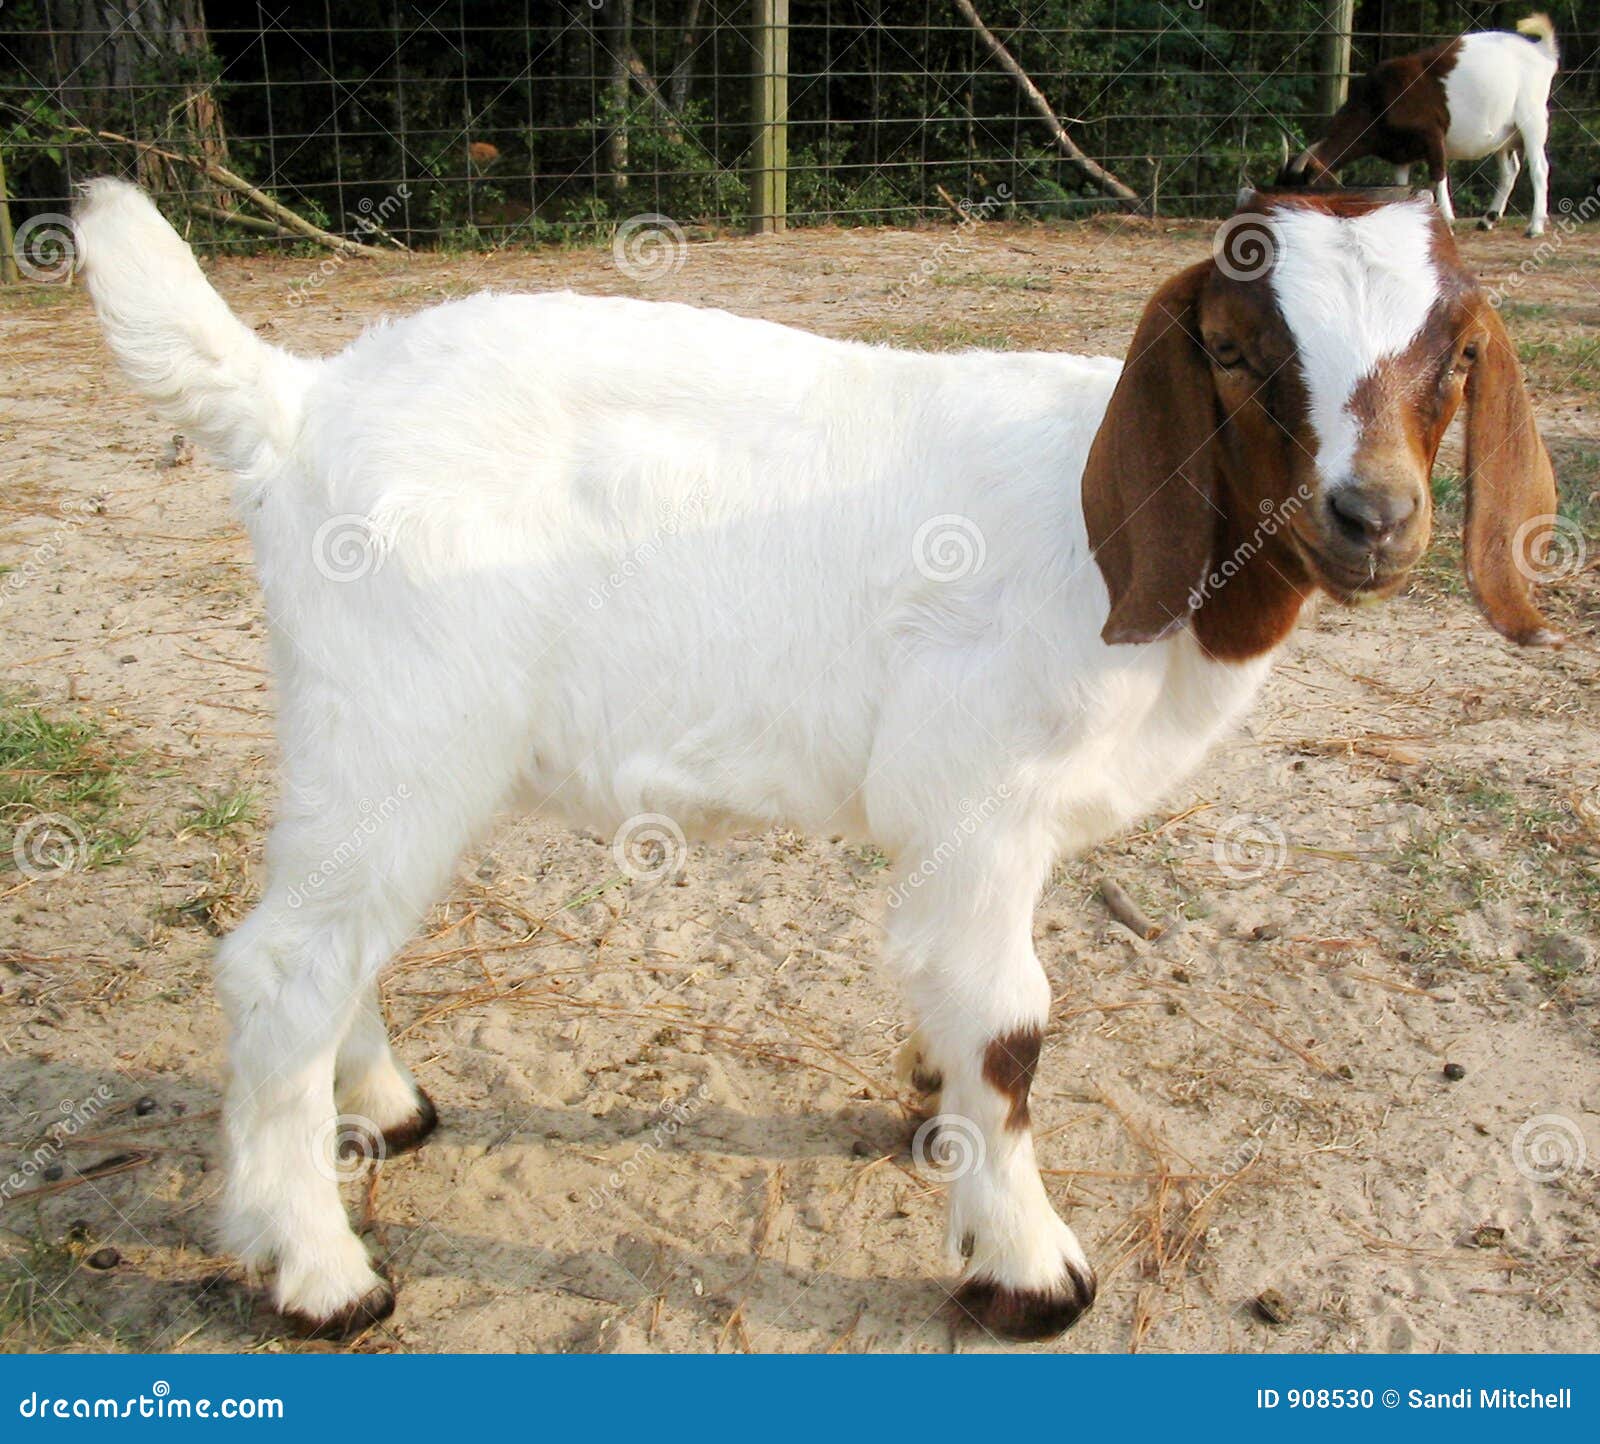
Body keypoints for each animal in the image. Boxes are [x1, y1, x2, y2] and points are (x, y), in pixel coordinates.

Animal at [74, 178, 1562, 1342]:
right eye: (1243, 356)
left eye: (1454, 358)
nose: (1374, 517)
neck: (1118, 541)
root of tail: (300, 404)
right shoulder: (980, 804)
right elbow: (1011, 1024)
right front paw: (1028, 1270)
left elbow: (953, 1004)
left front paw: (929, 1106)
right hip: (400, 715)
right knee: (284, 963)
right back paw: (320, 1273)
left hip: (393, 739)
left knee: (336, 936)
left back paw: (380, 1108)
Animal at [1279, 14, 1559, 237]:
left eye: (1302, 188)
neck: (1378, 99)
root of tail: (1542, 52)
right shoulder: (1401, 154)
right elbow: (1402, 186)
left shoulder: (1432, 136)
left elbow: (1439, 176)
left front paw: (1447, 220)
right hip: (1504, 135)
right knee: (1510, 170)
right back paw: (1488, 219)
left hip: (1532, 120)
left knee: (1539, 169)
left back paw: (1535, 227)